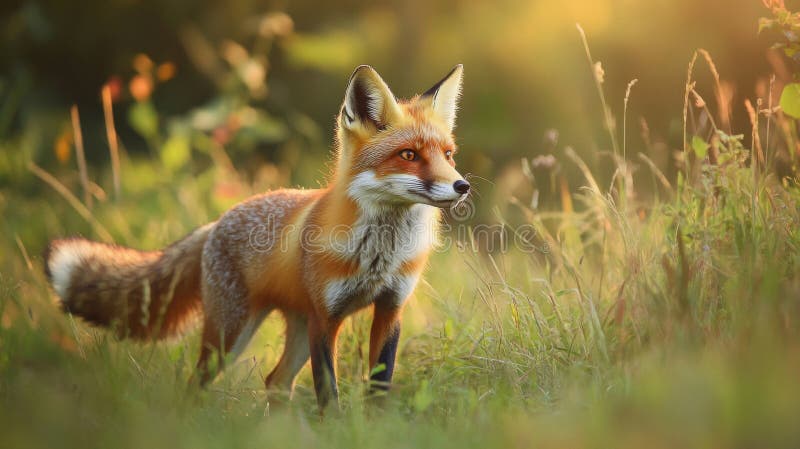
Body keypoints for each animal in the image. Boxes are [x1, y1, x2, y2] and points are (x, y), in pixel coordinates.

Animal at [44, 64, 469, 411]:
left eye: (448, 155)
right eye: (409, 155)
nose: (462, 186)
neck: (378, 255)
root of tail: (217, 222)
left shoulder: (390, 308)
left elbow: (379, 387)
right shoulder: (325, 317)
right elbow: (328, 393)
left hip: (291, 329)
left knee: (276, 382)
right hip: (230, 336)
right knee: (197, 384)